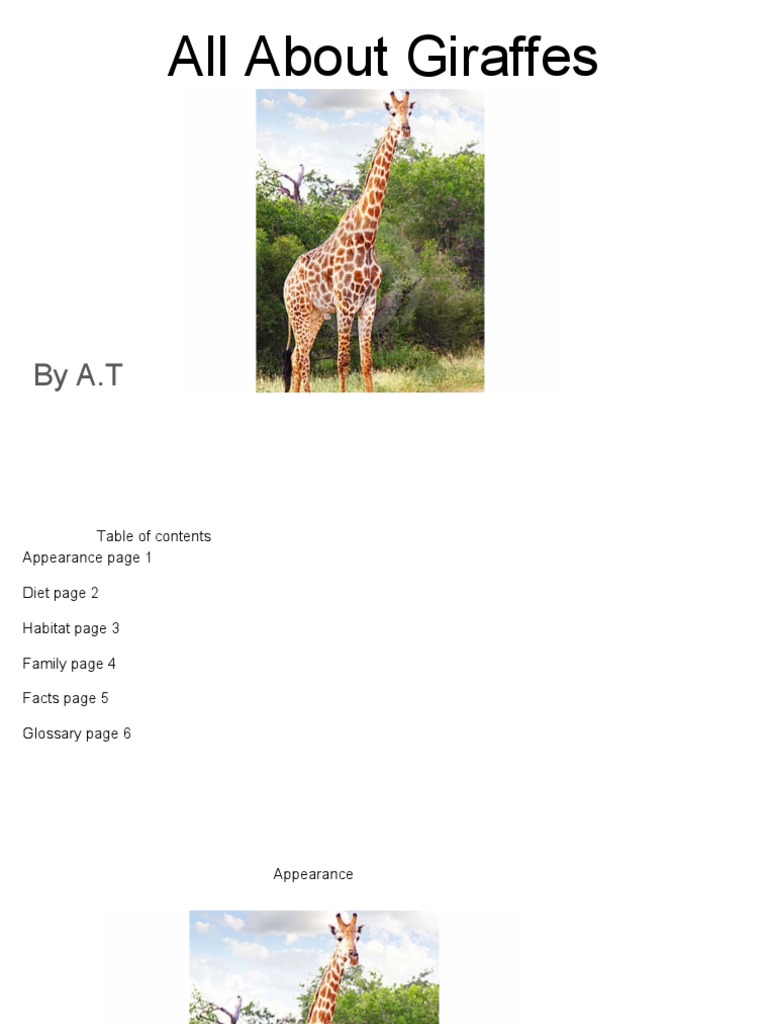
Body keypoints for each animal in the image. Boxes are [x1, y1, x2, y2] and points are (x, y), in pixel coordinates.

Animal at [283, 92, 415, 393]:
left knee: (298, 357)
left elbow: (367, 362)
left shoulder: (368, 304)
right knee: (301, 358)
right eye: (392, 113)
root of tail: (285, 282)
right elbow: (342, 362)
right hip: (299, 313)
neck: (367, 236)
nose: (406, 129)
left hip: (315, 315)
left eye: (410, 112)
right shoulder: (345, 303)